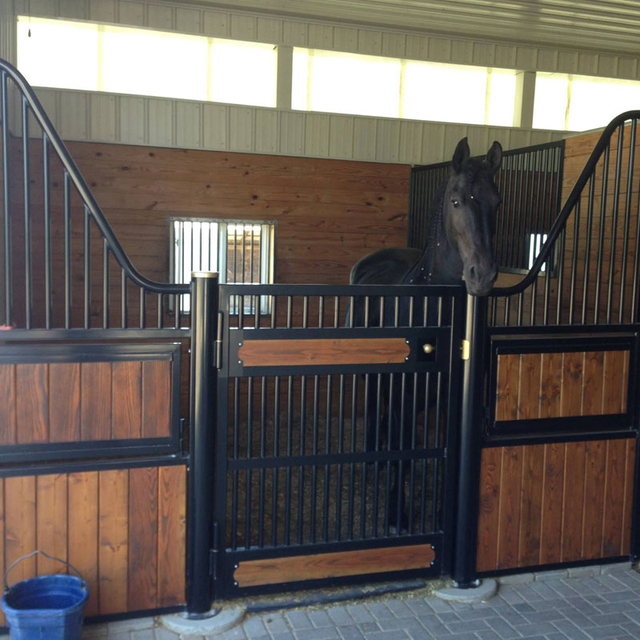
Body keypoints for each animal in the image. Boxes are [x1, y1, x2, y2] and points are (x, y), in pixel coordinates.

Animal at [349, 137, 503, 532]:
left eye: (497, 202)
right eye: (457, 201)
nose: (483, 275)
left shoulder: (451, 403)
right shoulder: (405, 396)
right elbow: (403, 452)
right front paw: (396, 515)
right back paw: (373, 460)